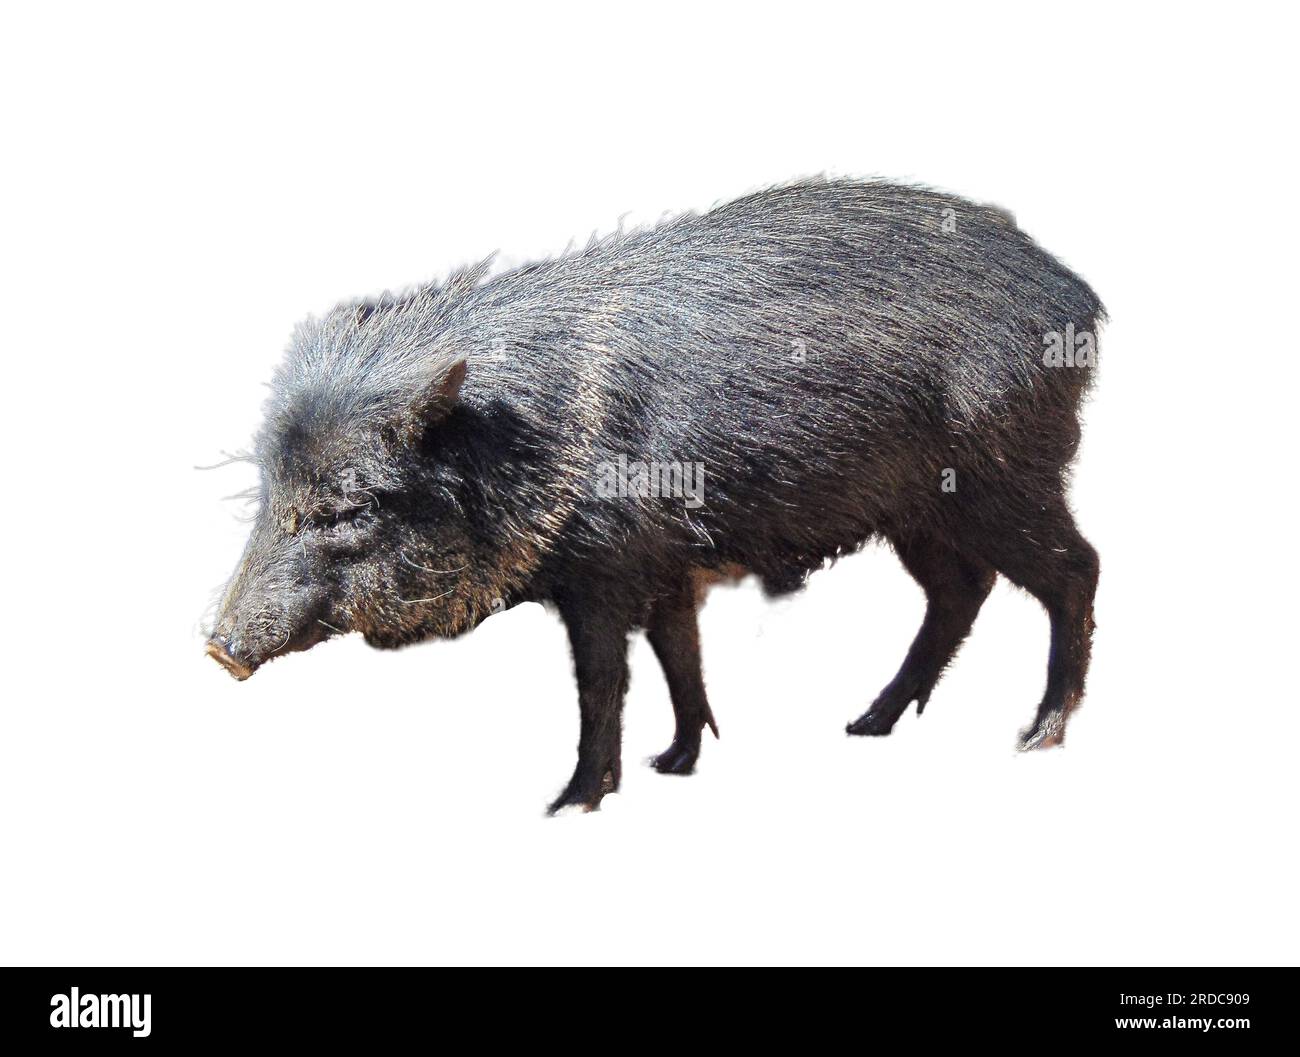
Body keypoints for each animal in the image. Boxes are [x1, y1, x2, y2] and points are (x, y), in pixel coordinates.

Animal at [207, 179, 1103, 813]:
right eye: (268, 491)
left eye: (348, 509)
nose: (216, 647)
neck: (523, 445)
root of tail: (1077, 301)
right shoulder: (666, 564)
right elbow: (680, 653)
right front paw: (676, 763)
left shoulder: (604, 572)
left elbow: (604, 681)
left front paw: (574, 803)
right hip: (920, 510)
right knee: (961, 589)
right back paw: (868, 722)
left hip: (1004, 479)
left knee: (1076, 571)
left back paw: (1037, 737)